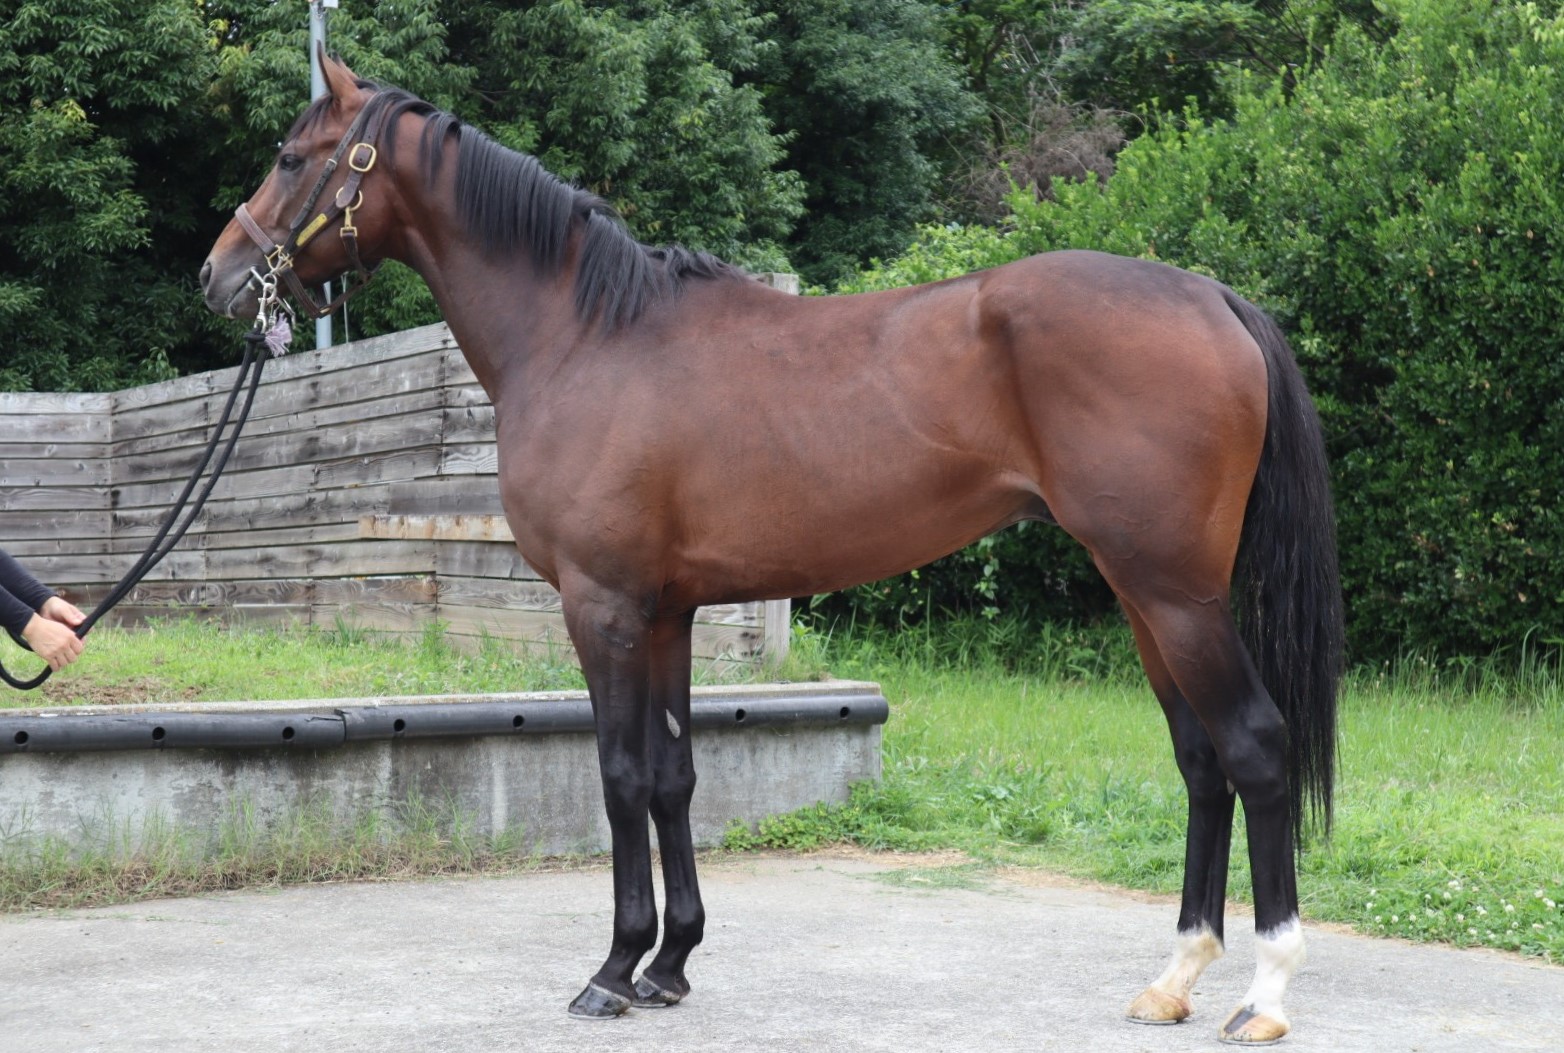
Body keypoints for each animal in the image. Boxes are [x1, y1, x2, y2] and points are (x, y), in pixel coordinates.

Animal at [201, 53, 1343, 1045]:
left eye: (293, 156)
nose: (219, 276)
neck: (587, 336)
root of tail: (1210, 295)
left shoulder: (603, 605)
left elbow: (620, 773)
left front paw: (612, 971)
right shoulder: (666, 610)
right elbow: (672, 776)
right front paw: (669, 965)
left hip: (1175, 594)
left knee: (1253, 747)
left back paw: (1266, 992)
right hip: (1147, 594)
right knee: (1200, 761)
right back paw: (1174, 977)